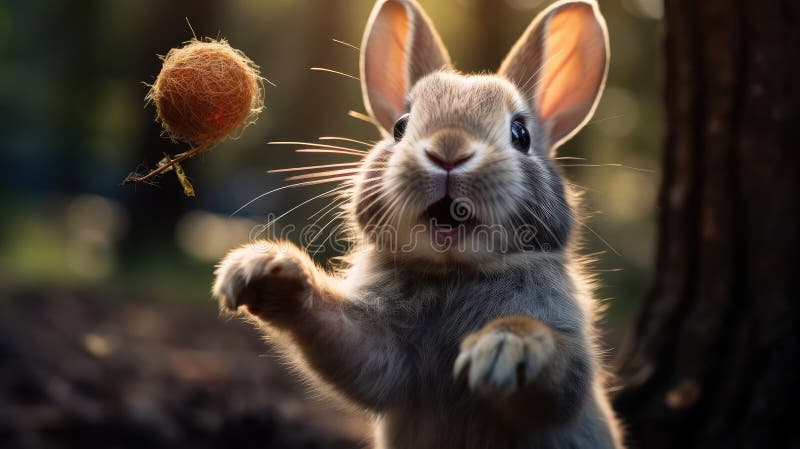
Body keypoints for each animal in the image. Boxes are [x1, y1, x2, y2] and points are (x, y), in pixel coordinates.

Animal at [213, 0, 625, 448]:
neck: (453, 273)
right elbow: (353, 351)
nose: (449, 150)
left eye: (521, 134)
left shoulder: (566, 356)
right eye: (400, 126)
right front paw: (261, 270)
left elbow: (562, 377)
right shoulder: (385, 352)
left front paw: (506, 347)